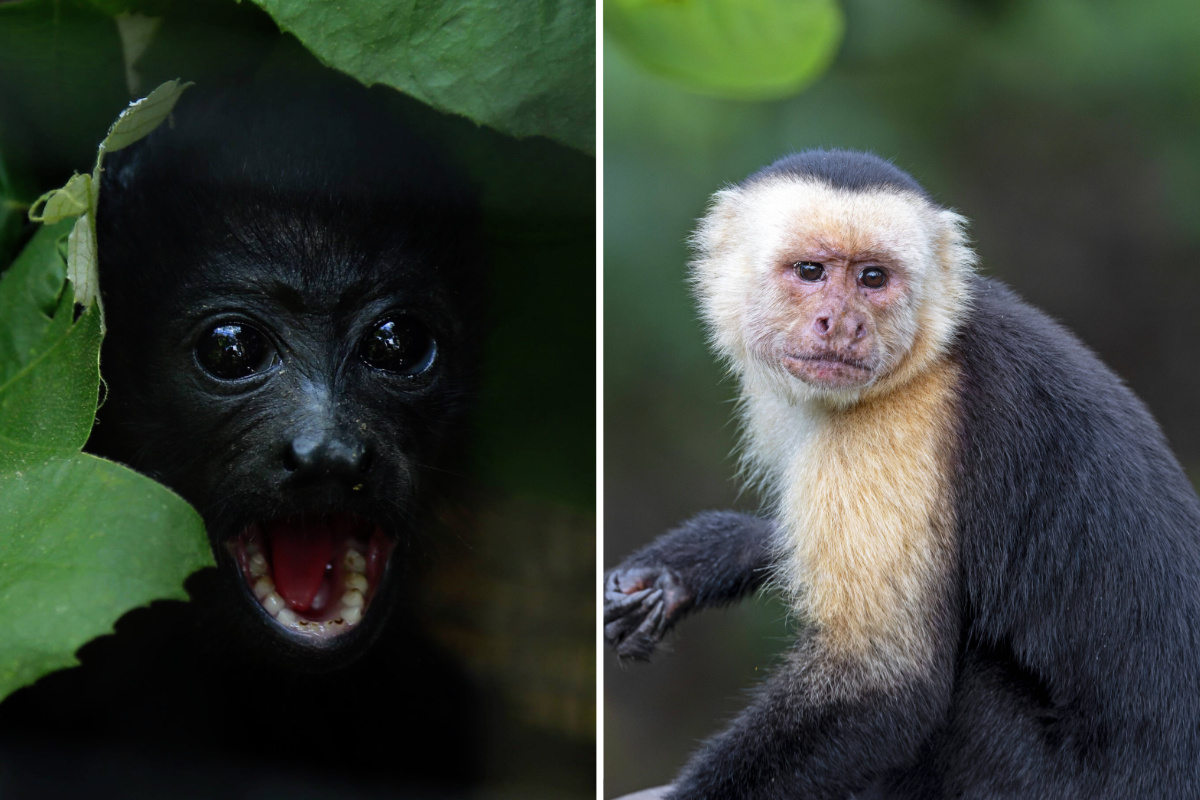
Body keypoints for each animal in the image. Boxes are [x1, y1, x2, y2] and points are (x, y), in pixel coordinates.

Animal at [605, 149, 1200, 799]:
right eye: (810, 271)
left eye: (873, 278)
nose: (841, 323)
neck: (924, 354)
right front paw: (696, 562)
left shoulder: (899, 423)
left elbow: (884, 686)